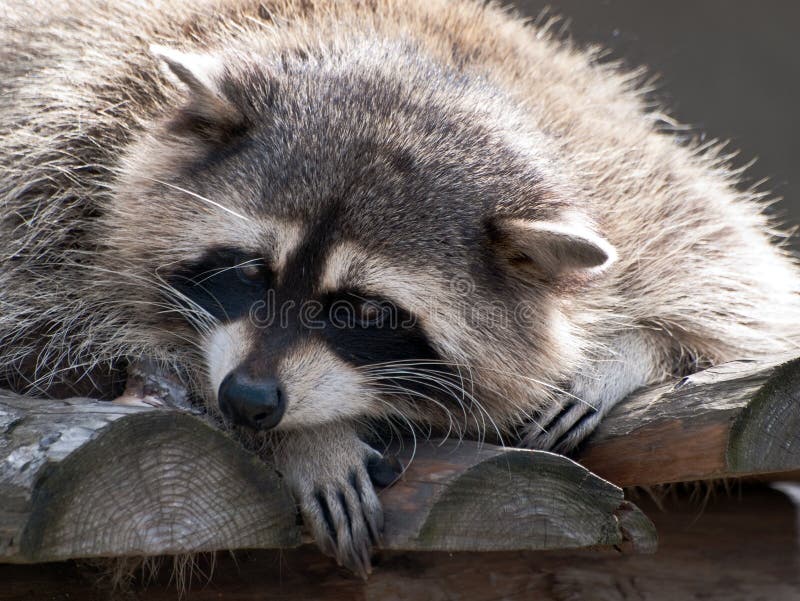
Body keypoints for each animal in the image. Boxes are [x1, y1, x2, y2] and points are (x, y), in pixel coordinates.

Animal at [2, 0, 800, 576]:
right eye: (251, 271)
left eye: (359, 309)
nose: (250, 400)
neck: (418, 68)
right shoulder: (59, 166)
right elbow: (46, 341)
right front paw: (312, 440)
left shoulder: (632, 183)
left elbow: (738, 282)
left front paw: (627, 351)